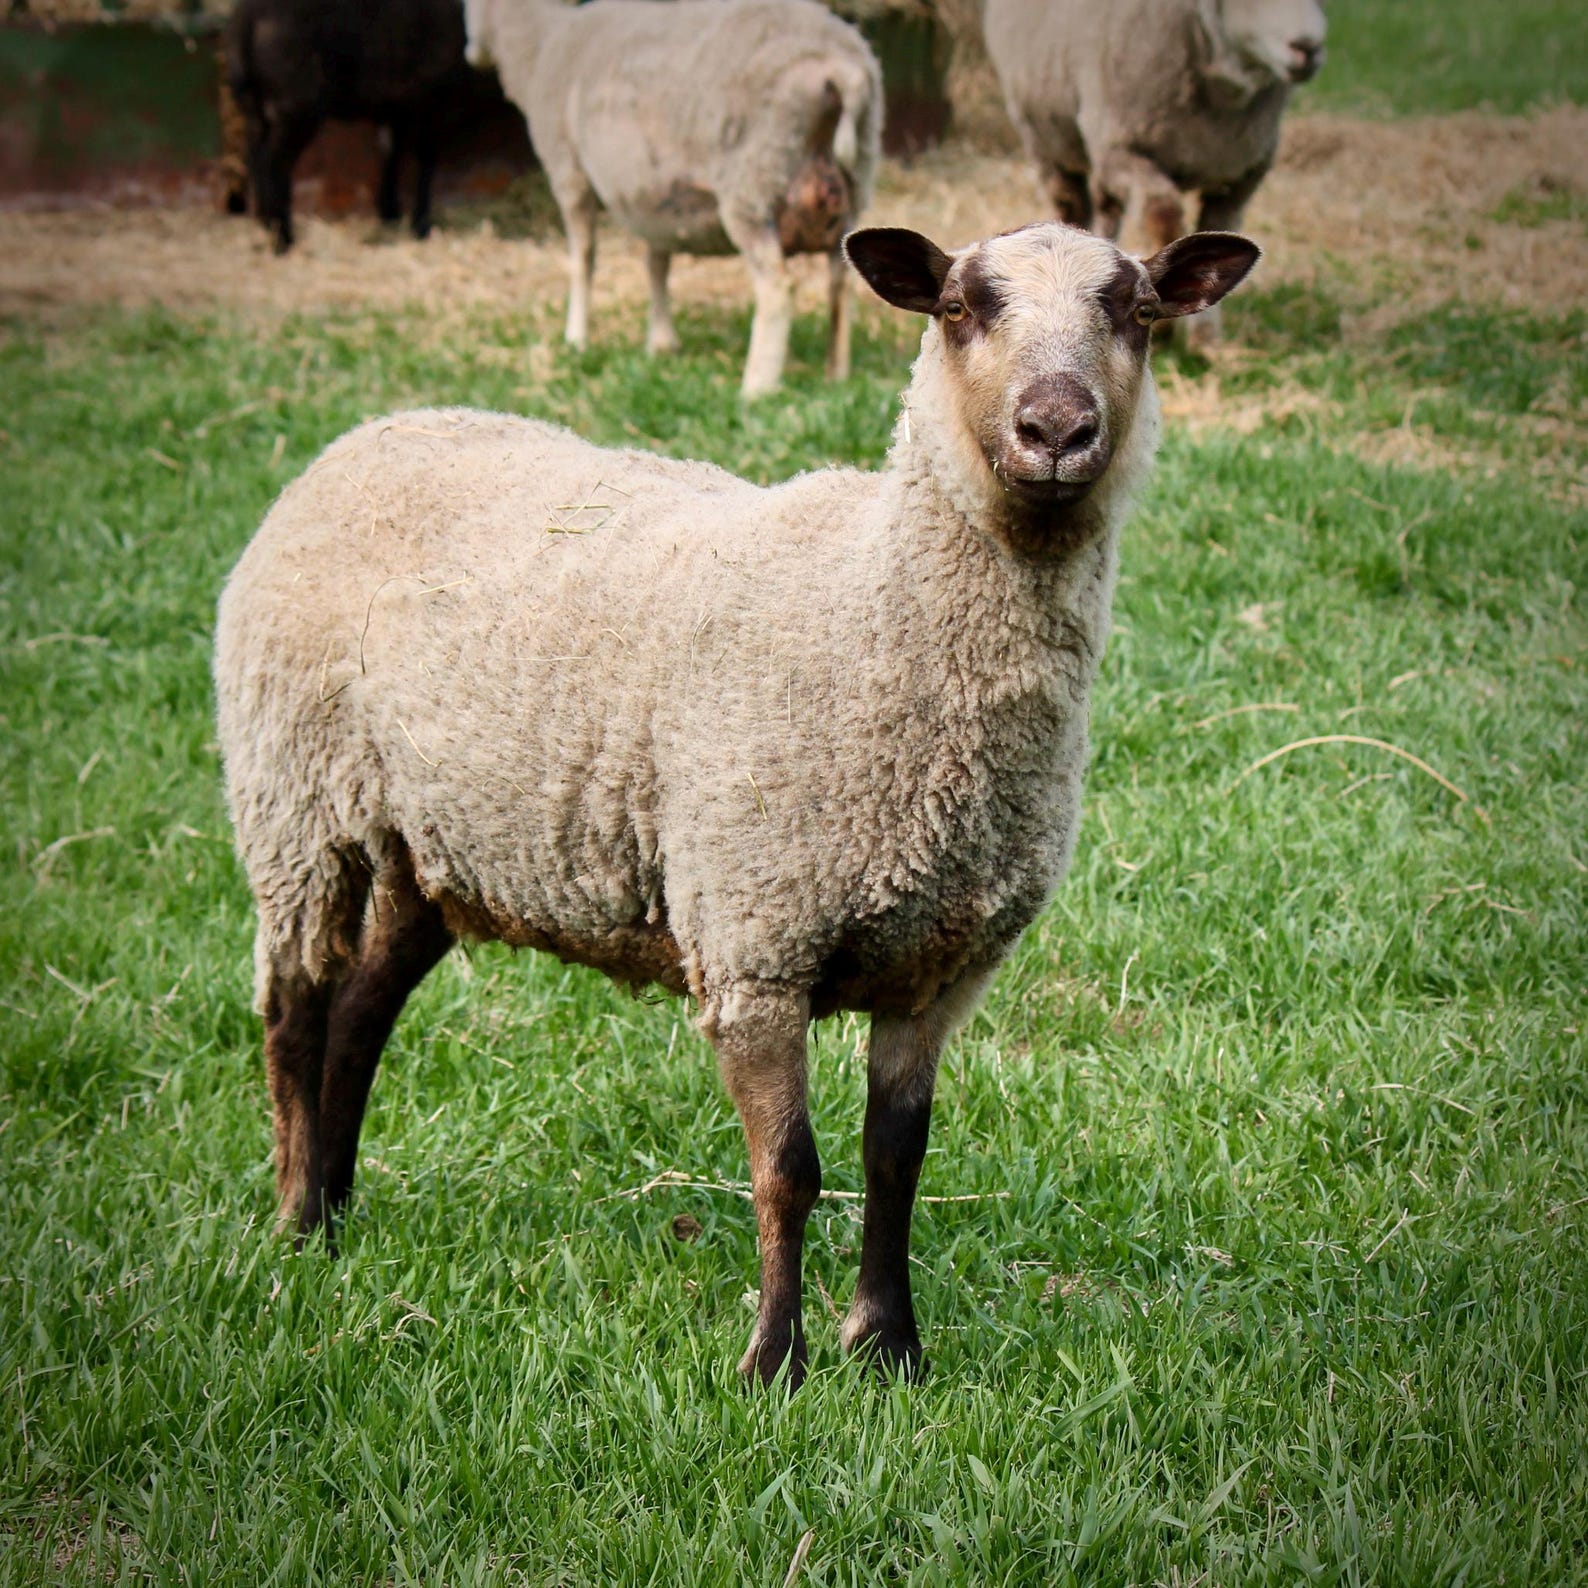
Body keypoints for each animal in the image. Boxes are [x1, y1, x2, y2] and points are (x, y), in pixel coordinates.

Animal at [214, 218, 1258, 1387]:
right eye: (958, 309)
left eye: (1135, 311)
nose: (1057, 428)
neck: (877, 607)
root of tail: (363, 435)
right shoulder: (756, 938)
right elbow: (789, 1169)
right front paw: (775, 1362)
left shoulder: (941, 967)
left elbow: (896, 1156)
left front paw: (888, 1346)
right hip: (297, 802)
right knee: (294, 1008)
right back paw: (295, 1219)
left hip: (434, 844)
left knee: (362, 1010)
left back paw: (341, 1211)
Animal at [226, 0, 472, 254]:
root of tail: (245, 21)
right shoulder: (431, 93)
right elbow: (426, 158)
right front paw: (421, 225)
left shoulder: (397, 102)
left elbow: (392, 152)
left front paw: (390, 214)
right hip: (295, 105)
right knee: (273, 165)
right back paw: (283, 240)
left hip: (255, 108)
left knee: (255, 158)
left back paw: (266, 225)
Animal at [463, 0, 882, 397]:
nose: (471, 54)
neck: (540, 46)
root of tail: (843, 68)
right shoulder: (655, 199)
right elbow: (657, 263)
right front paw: (661, 342)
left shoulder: (568, 170)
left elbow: (583, 259)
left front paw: (576, 338)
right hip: (853, 184)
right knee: (841, 282)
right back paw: (835, 373)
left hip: (751, 181)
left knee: (777, 288)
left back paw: (756, 387)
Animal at [983, 0, 1323, 342]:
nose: (1308, 48)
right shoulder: (1125, 149)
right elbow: (1163, 215)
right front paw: (1166, 328)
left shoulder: (1242, 175)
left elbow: (1217, 234)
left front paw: (1206, 338)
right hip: (1047, 136)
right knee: (1070, 201)